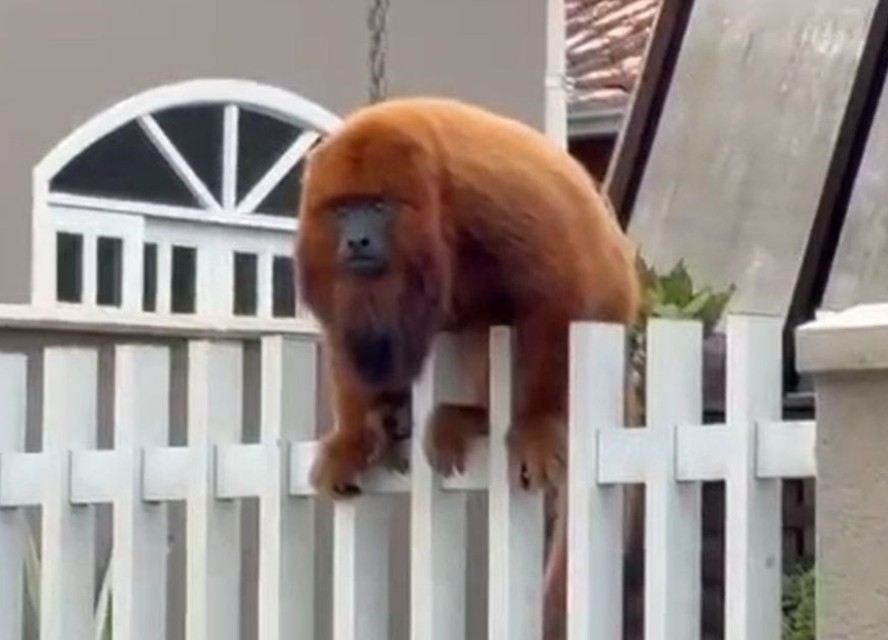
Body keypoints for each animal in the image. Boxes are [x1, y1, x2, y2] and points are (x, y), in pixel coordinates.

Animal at [294, 96, 642, 637]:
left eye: (379, 206)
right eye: (343, 209)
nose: (356, 240)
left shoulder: (488, 193)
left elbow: (557, 286)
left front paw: (537, 424)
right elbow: (345, 335)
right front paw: (352, 435)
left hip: (604, 307)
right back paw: (411, 415)